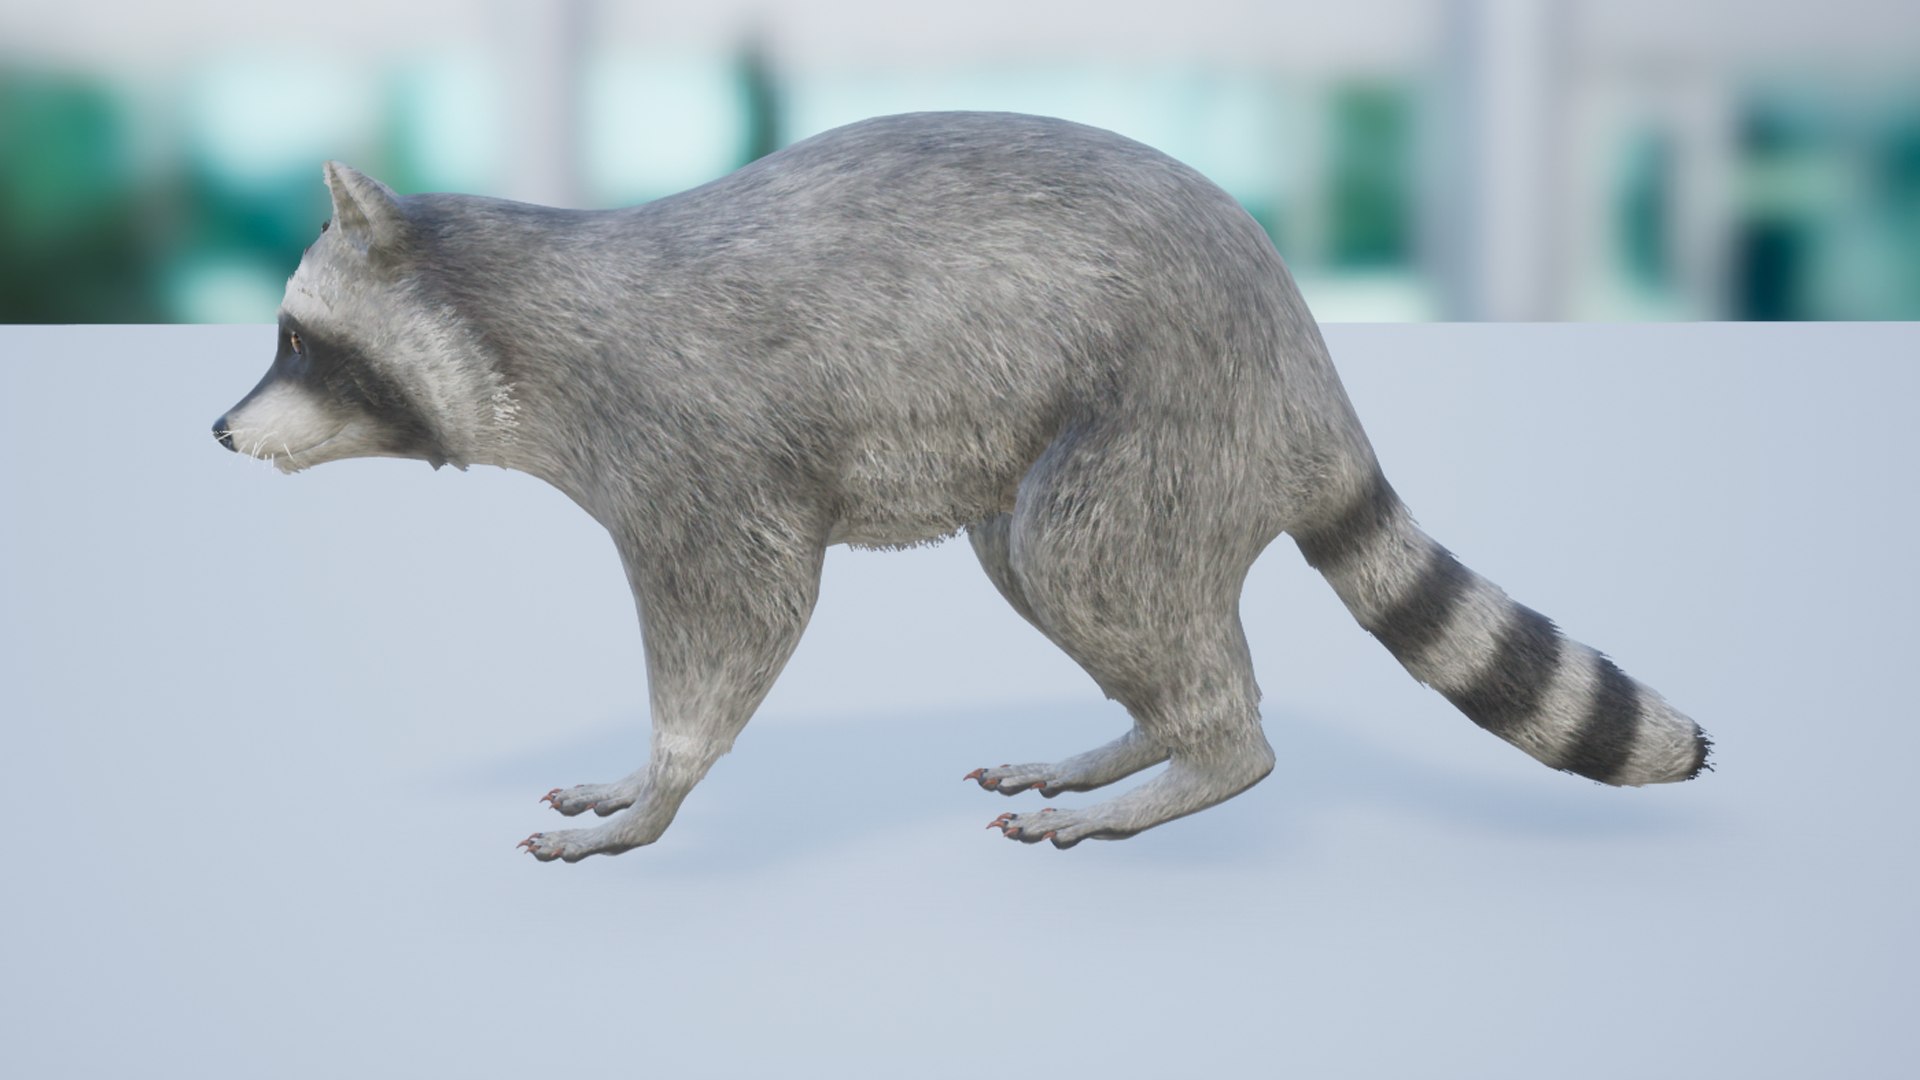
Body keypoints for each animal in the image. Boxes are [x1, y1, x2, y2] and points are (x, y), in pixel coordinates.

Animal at [214, 112, 1710, 861]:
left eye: (299, 344)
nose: (222, 434)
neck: (521, 304)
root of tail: (1306, 358)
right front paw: (647, 780)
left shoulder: (688, 447)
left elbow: (740, 611)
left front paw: (663, 788)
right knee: (1048, 571)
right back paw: (1139, 735)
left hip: (1167, 414)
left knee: (1086, 561)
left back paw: (1205, 752)